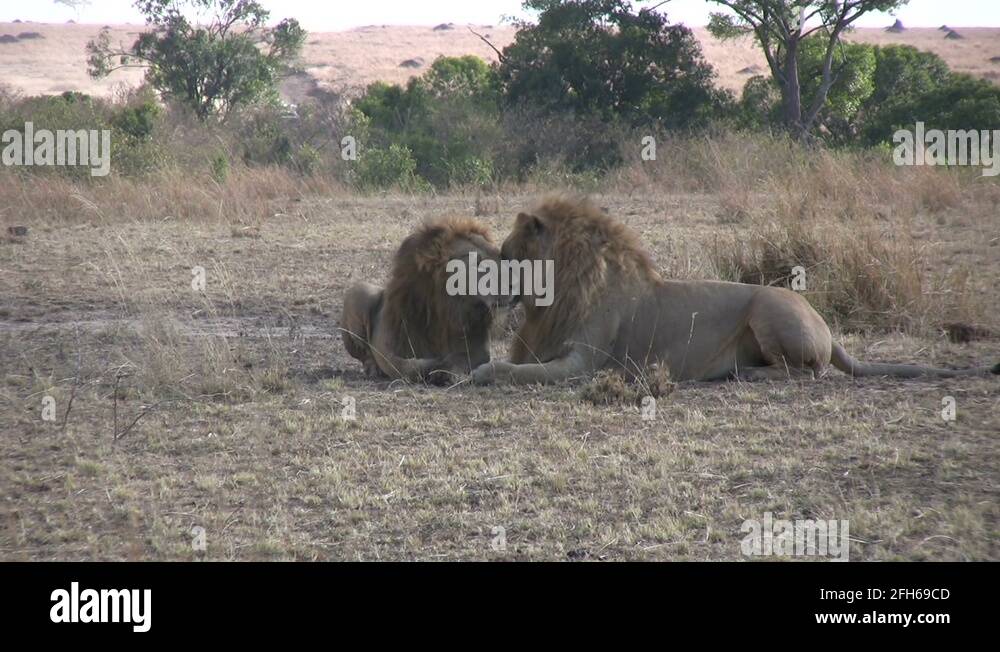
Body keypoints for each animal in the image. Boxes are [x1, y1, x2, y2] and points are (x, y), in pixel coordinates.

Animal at [342, 216, 507, 383]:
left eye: (499, 255)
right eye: (477, 263)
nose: (512, 284)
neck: (449, 313)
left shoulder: (478, 352)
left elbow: (464, 360)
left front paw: (448, 371)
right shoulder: (390, 350)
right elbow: (409, 366)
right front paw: (437, 366)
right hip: (359, 291)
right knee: (365, 356)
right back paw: (374, 370)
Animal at [472, 196, 1000, 385]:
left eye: (507, 253)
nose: (489, 288)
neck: (556, 292)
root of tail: (826, 325)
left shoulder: (583, 363)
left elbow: (501, 369)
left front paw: (476, 374)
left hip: (770, 305)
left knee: (808, 372)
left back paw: (743, 373)